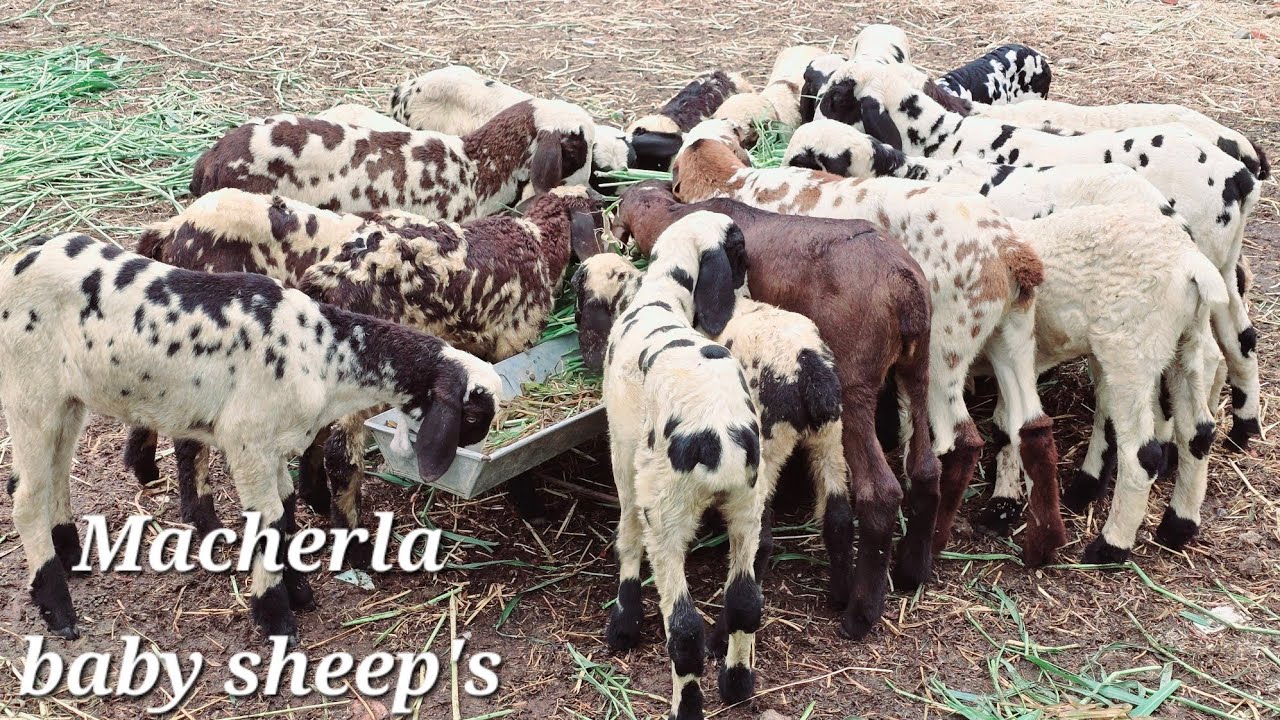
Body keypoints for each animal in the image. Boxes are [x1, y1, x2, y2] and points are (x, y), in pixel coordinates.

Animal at [0, 233, 500, 644]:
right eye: (475, 411)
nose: (477, 438)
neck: (325, 353)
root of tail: (17, 260)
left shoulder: (275, 444)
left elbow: (286, 511)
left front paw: (298, 591)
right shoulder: (248, 441)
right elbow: (268, 520)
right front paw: (275, 617)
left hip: (69, 399)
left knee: (56, 473)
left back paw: (70, 553)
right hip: (30, 393)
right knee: (25, 496)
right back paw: (58, 608)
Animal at [575, 253, 855, 644]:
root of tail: (809, 371)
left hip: (766, 447)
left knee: (760, 542)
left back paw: (723, 632)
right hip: (829, 434)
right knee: (839, 516)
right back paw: (841, 598)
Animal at [590, 211, 763, 719]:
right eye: (740, 252)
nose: (749, 289)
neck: (661, 299)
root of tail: (717, 435)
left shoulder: (622, 449)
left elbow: (625, 534)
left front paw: (623, 622)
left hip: (664, 509)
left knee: (684, 629)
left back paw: (687, 704)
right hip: (748, 502)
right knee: (745, 600)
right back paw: (737, 683)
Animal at [609, 180, 940, 638]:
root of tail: (905, 286)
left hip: (855, 385)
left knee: (880, 493)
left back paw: (860, 613)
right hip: (917, 367)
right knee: (925, 466)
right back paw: (913, 570)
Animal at [670, 120, 1066, 565]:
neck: (737, 184)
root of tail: (1008, 249)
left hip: (946, 348)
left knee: (961, 443)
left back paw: (931, 546)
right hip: (1011, 336)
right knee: (1033, 427)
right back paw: (1044, 542)